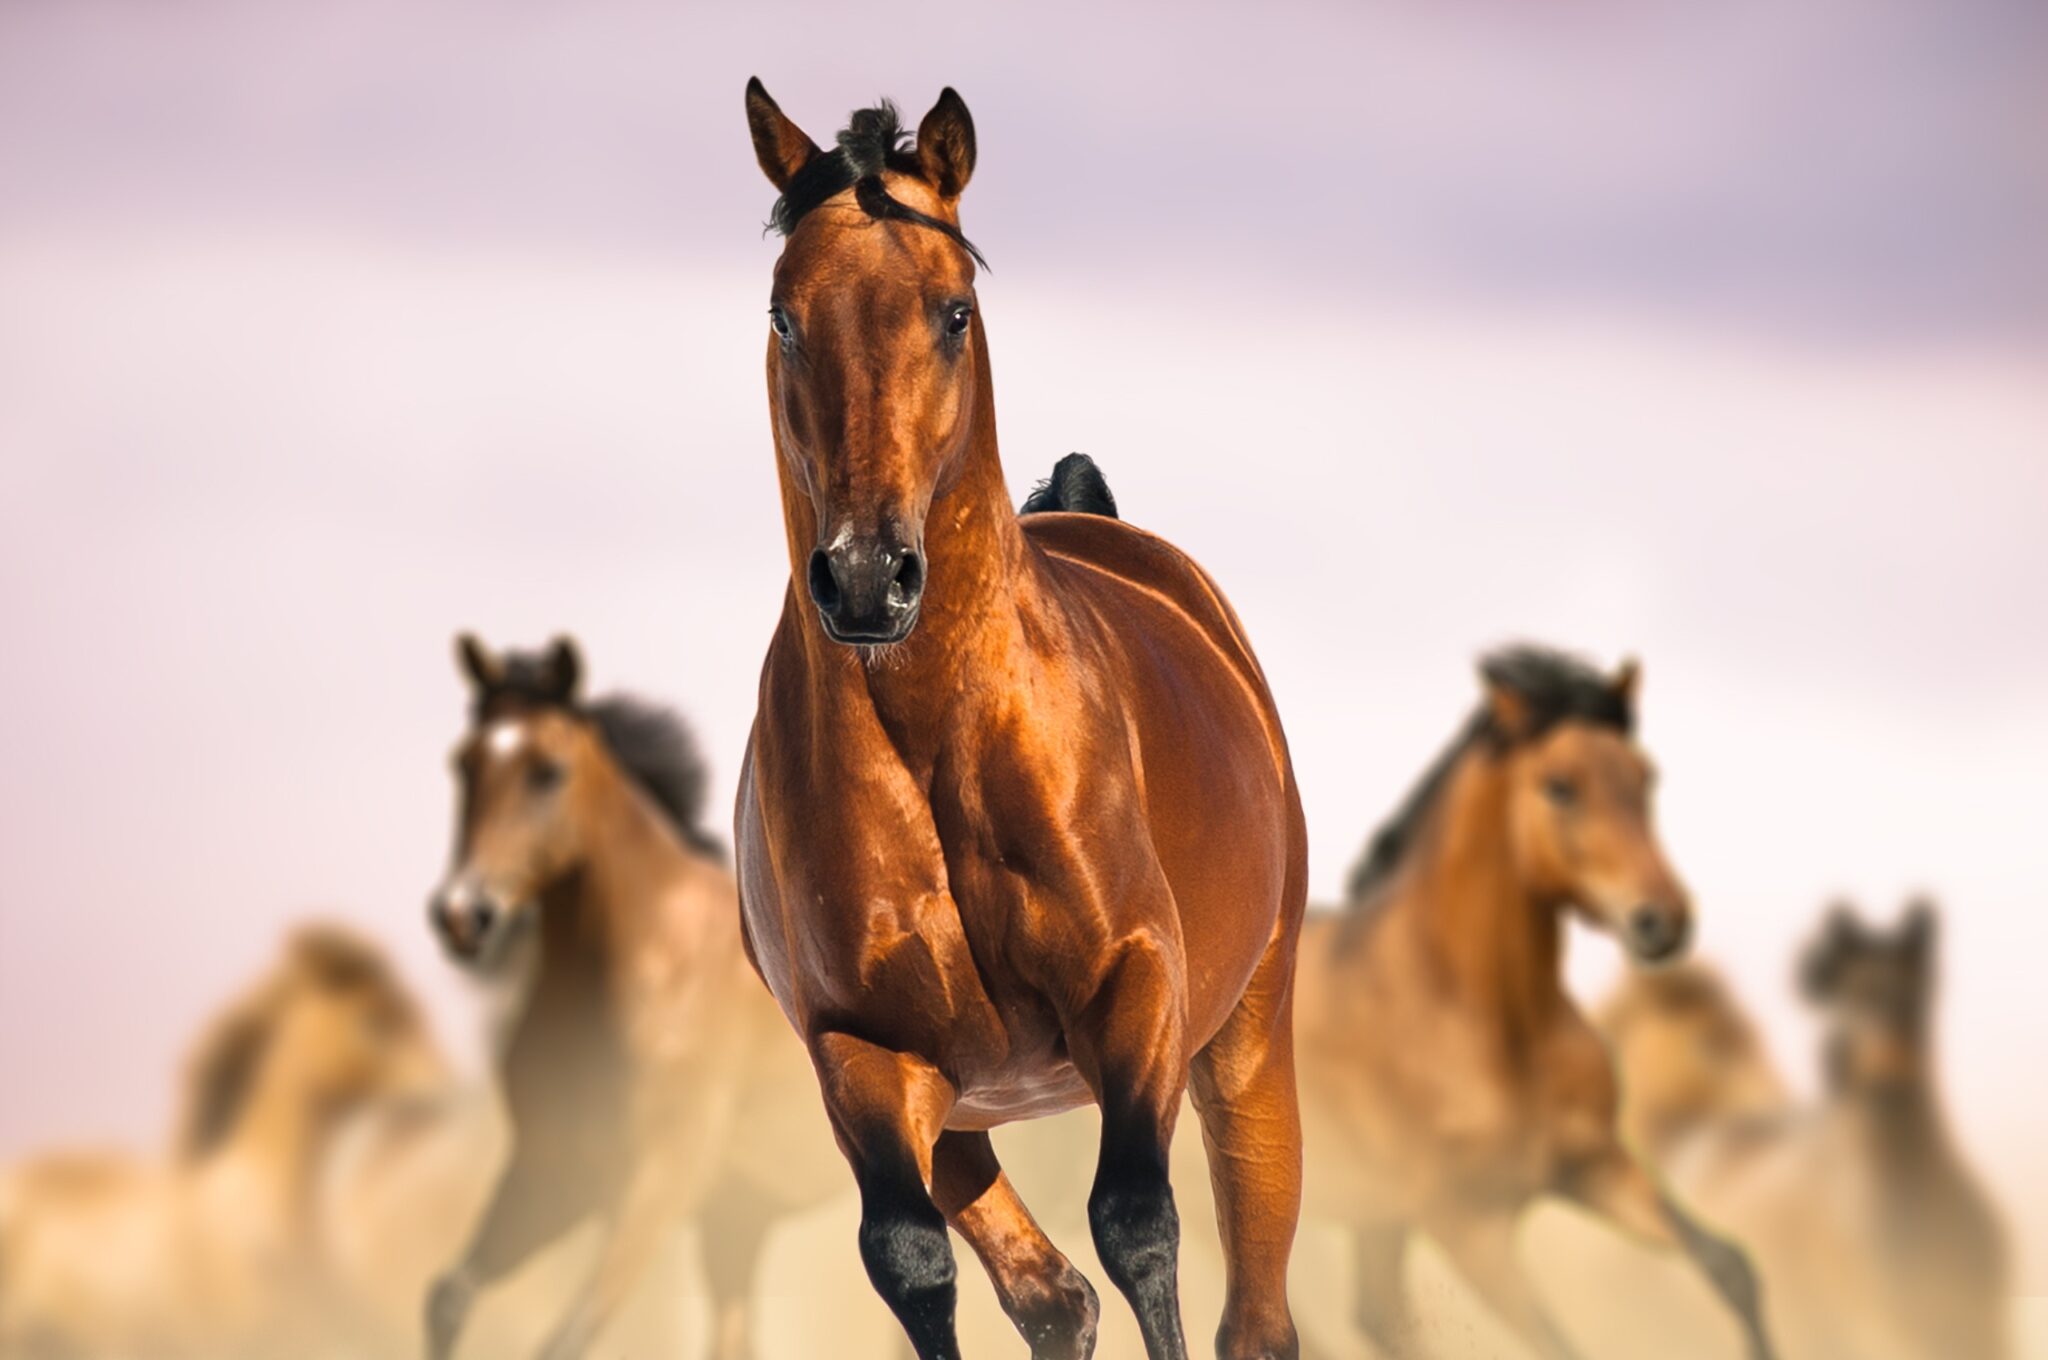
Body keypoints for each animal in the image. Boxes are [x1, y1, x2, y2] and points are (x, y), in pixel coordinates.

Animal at [422, 634, 849, 1360]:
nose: (462, 914)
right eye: (462, 764)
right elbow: (449, 1298)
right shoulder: (550, 1171)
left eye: (548, 771)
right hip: (735, 1228)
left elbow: (563, 1340)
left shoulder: (658, 1180)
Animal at [736, 82, 1310, 1360]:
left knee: (1252, 1308)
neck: (940, 742)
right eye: (785, 317)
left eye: (952, 311)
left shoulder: (1135, 990)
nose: (866, 578)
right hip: (958, 1107)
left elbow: (1138, 1225)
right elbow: (912, 1264)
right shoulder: (861, 1053)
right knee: (1049, 1292)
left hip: (1245, 1039)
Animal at [1290, 647, 1776, 1360]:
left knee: (1373, 1313)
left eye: (1645, 777)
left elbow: (1729, 1266)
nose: (1663, 919)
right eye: (1560, 785)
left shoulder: (1593, 1165)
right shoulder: (1467, 1227)